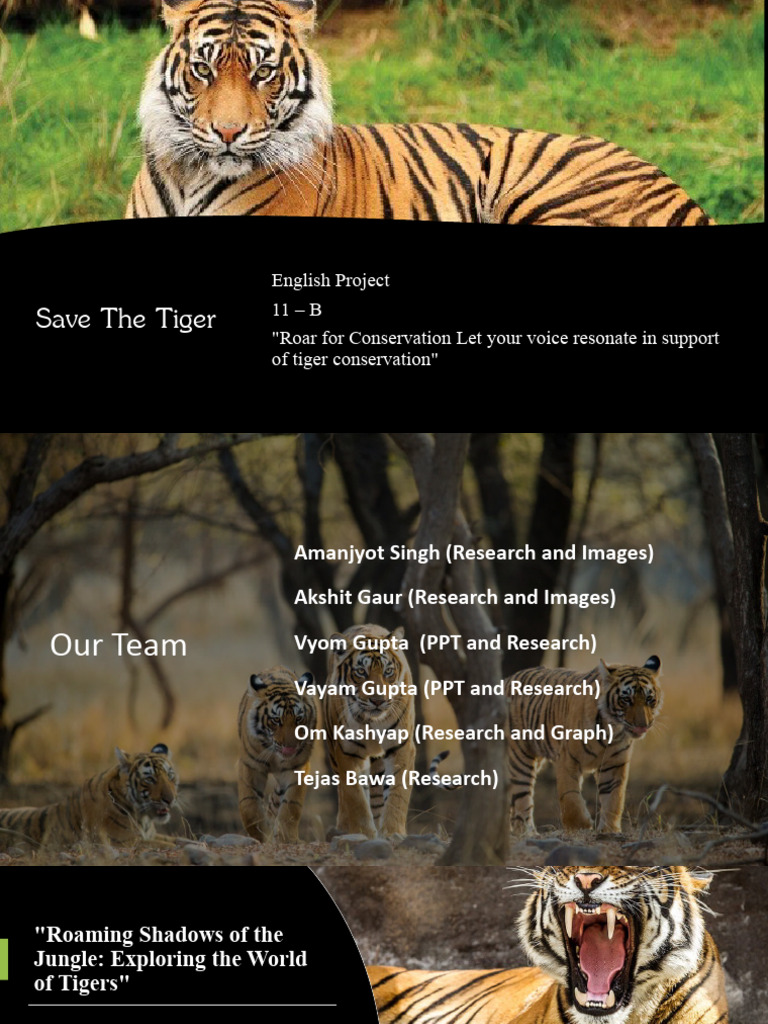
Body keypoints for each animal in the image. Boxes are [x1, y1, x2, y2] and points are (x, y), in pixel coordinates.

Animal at [0, 743, 177, 849]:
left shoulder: (150, 835)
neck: (144, 818)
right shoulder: (125, 841)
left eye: (170, 776)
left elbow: (177, 840)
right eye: (150, 779)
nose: (170, 799)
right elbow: (170, 845)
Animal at [237, 665, 317, 842]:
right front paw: (261, 836)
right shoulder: (250, 765)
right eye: (275, 720)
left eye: (298, 718)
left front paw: (285, 837)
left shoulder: (297, 767)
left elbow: (291, 805)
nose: (290, 747)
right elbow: (249, 806)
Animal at [323, 623, 415, 838]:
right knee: (344, 794)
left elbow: (397, 794)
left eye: (388, 671)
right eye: (361, 672)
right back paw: (343, 828)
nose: (378, 700)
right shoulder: (347, 752)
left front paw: (392, 833)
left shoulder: (401, 746)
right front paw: (362, 832)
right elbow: (355, 798)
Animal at [507, 656, 662, 834]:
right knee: (522, 798)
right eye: (626, 700)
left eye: (649, 699)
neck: (612, 730)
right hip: (520, 758)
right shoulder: (568, 759)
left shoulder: (614, 764)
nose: (643, 725)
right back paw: (528, 832)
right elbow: (570, 797)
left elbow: (614, 798)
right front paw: (580, 826)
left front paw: (609, 830)